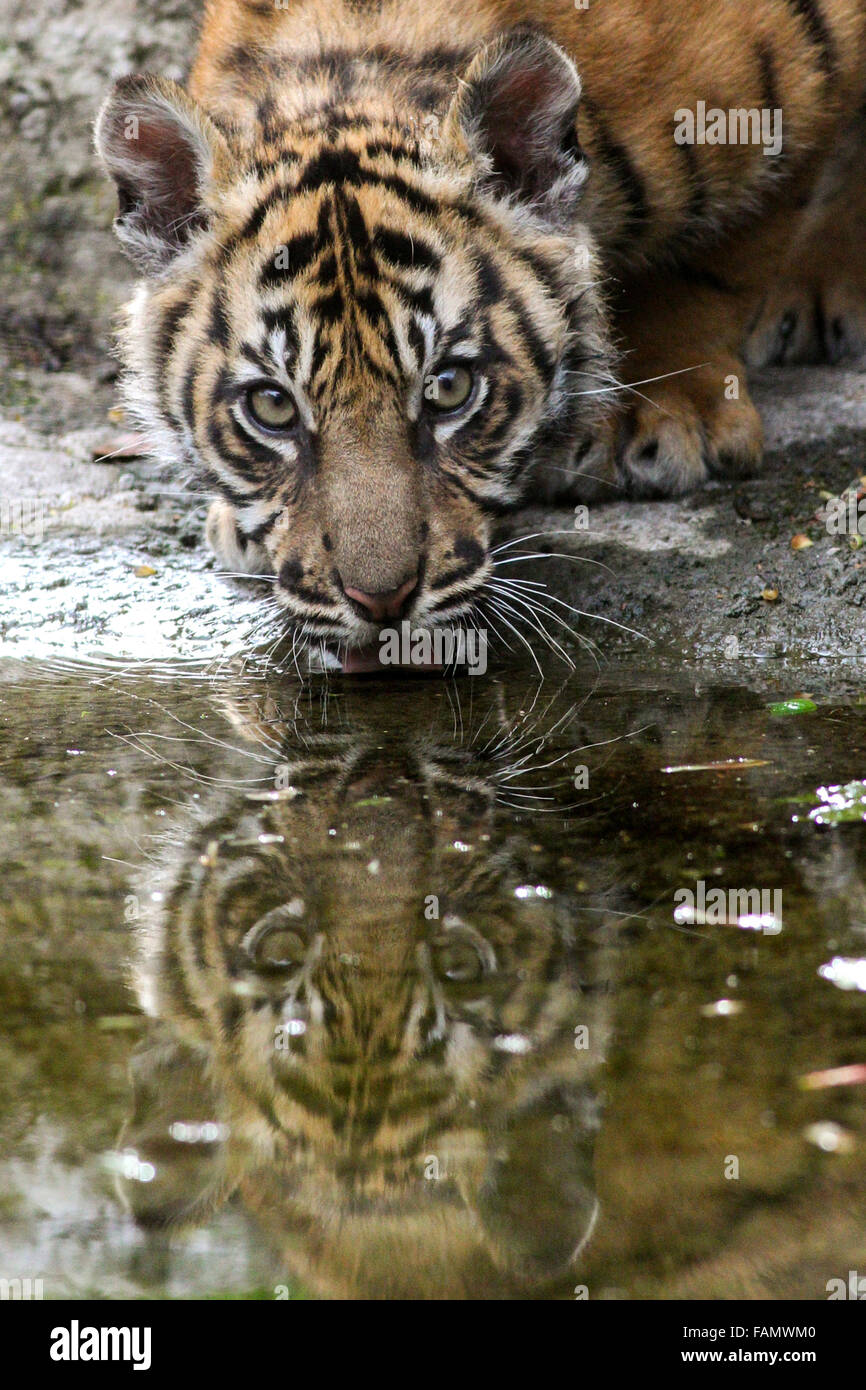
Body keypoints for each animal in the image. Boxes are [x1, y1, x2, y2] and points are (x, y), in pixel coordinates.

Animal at [95, 0, 866, 662]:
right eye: (272, 407)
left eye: (449, 389)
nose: (381, 603)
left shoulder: (777, 92)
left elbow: (716, 264)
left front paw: (671, 414)